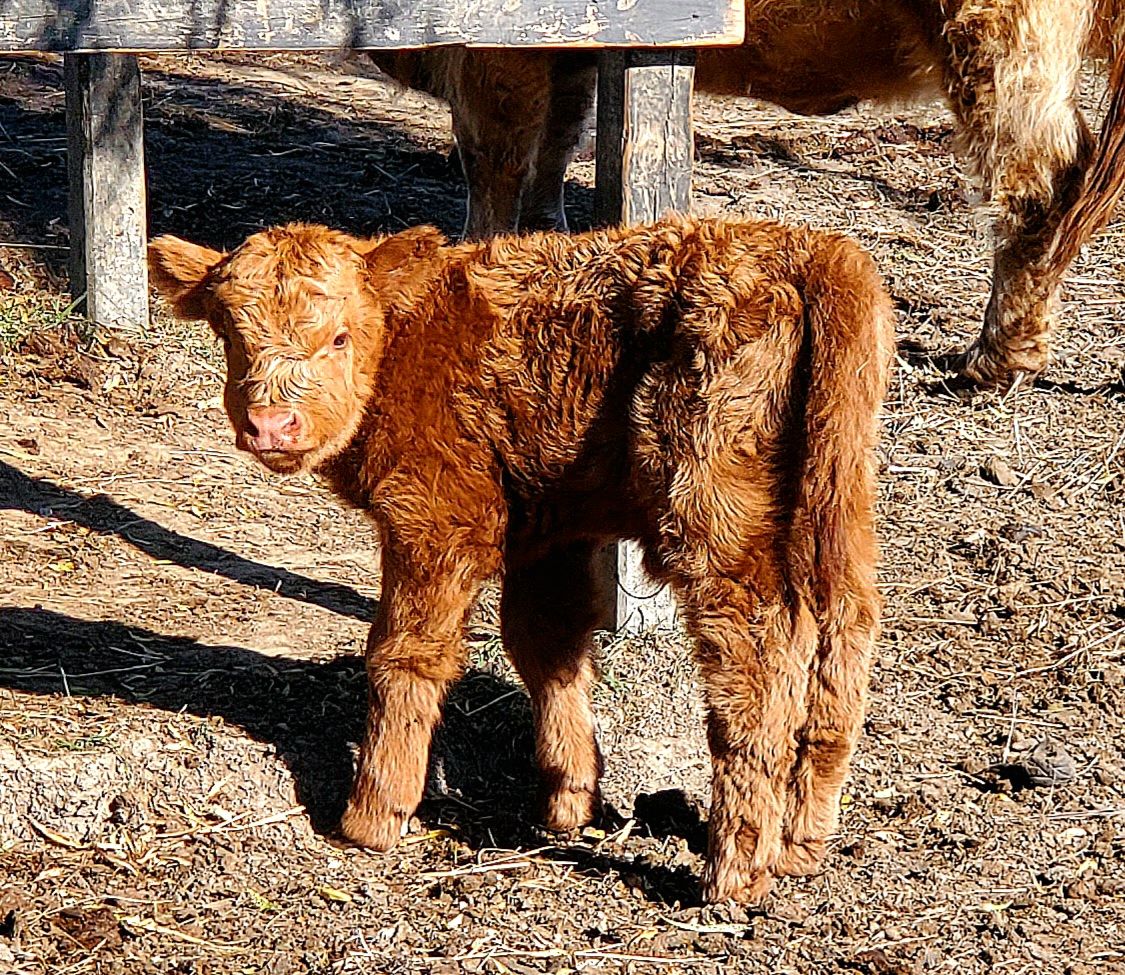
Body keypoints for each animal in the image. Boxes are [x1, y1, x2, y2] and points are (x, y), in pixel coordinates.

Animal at [146, 214, 892, 904]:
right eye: (230, 333)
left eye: (338, 336)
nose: (269, 425)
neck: (408, 344)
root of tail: (807, 247)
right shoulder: (548, 528)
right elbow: (545, 644)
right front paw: (568, 801)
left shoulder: (437, 520)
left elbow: (403, 652)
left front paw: (372, 817)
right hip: (838, 499)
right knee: (844, 630)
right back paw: (800, 844)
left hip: (713, 511)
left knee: (757, 655)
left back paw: (733, 872)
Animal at [368, 0, 1125, 388]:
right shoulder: (571, 49)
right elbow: (556, 137)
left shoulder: (498, 46)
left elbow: (493, 158)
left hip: (1002, 48)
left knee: (1039, 187)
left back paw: (990, 362)